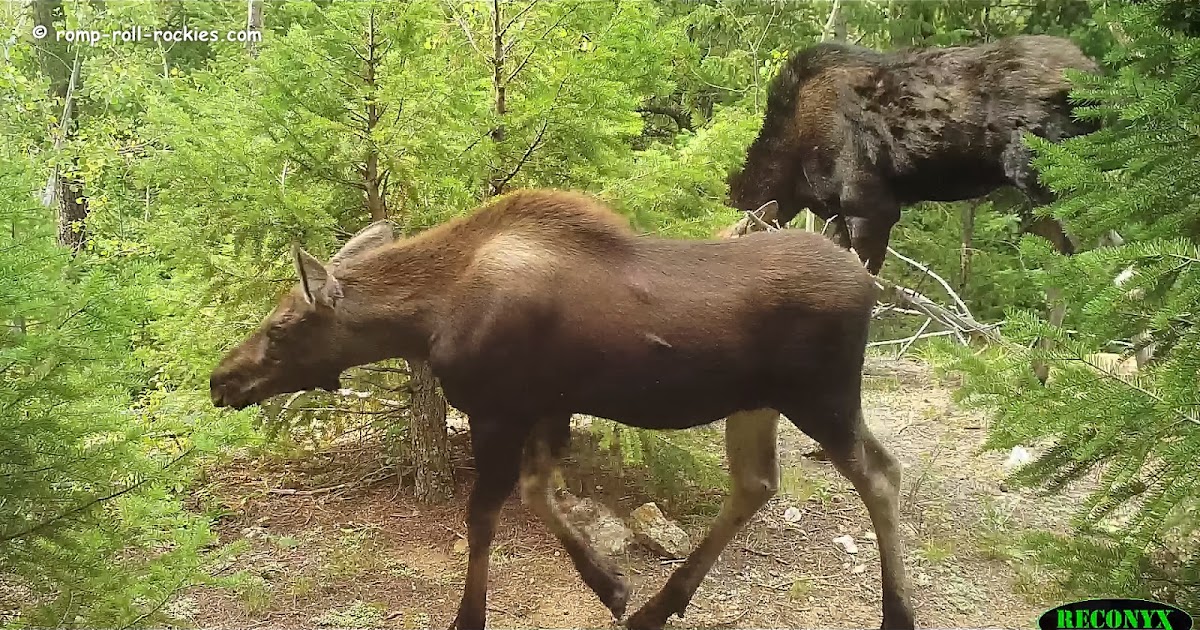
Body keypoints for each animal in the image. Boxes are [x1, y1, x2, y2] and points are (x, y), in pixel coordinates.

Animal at [210, 189, 915, 630]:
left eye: (281, 326)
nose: (221, 379)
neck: (428, 314)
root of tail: (871, 283)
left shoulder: (499, 409)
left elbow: (484, 517)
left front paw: (469, 617)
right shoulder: (550, 406)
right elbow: (538, 492)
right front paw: (612, 586)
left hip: (821, 397)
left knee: (881, 472)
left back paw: (898, 613)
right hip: (757, 402)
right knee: (757, 483)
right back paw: (659, 605)